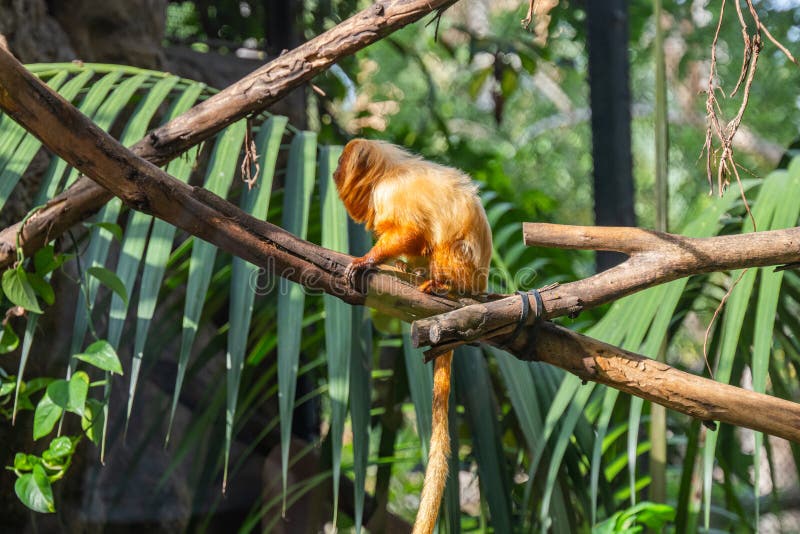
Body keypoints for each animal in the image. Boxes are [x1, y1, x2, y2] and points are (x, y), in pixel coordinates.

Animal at [333, 139, 492, 534]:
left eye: (341, 162)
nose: (335, 169)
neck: (386, 174)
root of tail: (478, 286)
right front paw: (395, 264)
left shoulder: (391, 195)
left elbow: (411, 231)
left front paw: (369, 259)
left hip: (461, 267)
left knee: (442, 245)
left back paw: (440, 284)